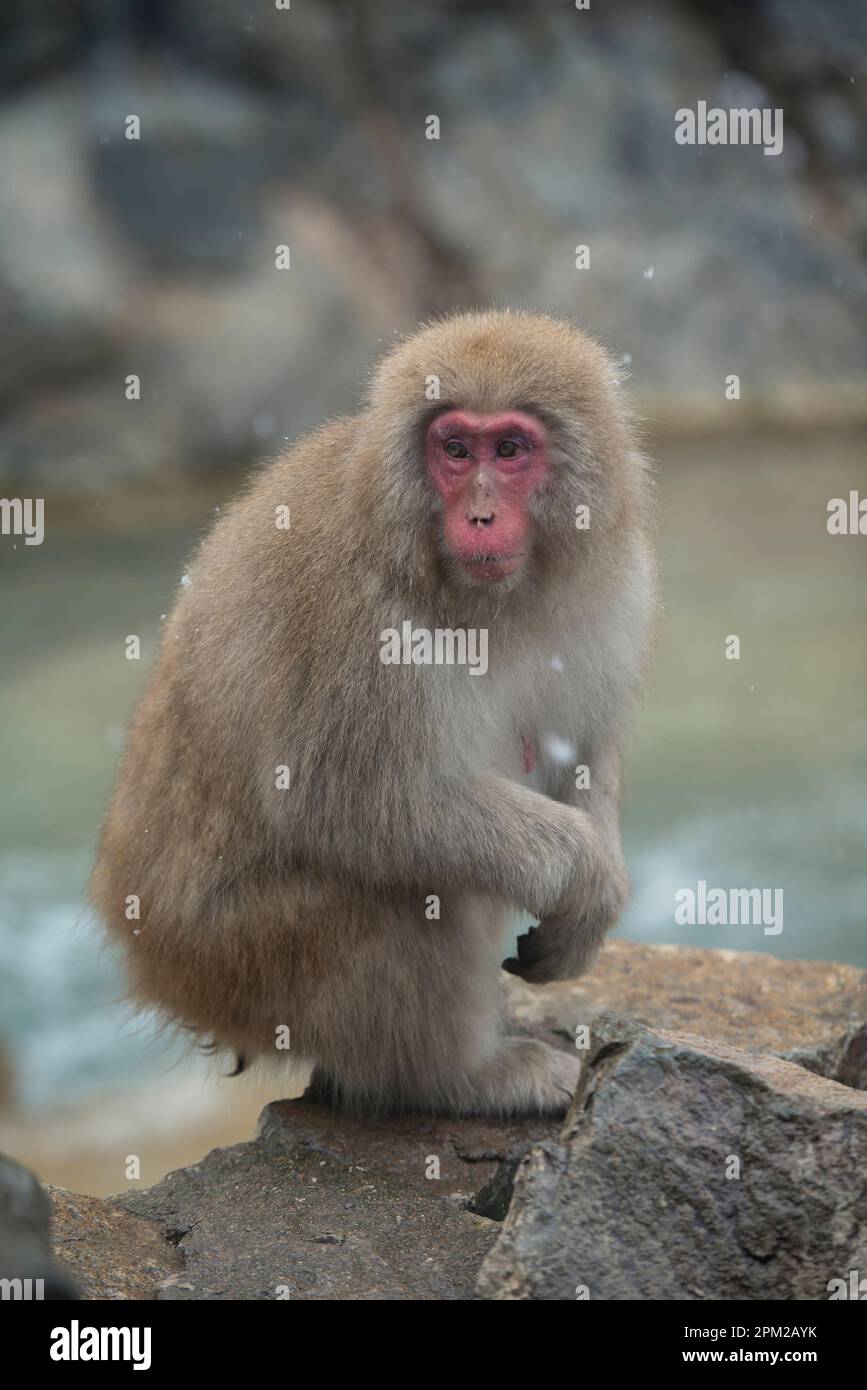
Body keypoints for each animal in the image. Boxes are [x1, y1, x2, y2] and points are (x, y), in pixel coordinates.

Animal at [91, 309, 656, 1117]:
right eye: (455, 450)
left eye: (509, 449)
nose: (480, 514)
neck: (485, 601)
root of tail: (154, 966)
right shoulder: (360, 622)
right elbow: (351, 801)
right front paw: (579, 871)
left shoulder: (617, 585)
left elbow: (584, 743)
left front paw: (596, 897)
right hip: (247, 961)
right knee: (407, 887)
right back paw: (455, 1076)